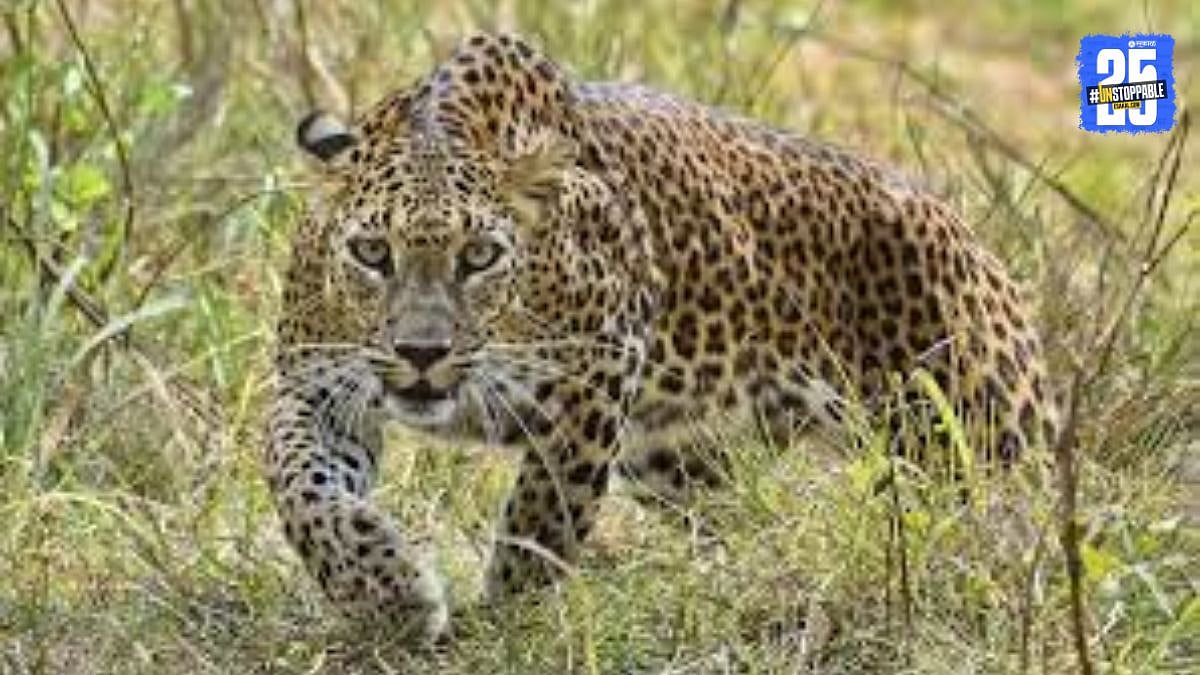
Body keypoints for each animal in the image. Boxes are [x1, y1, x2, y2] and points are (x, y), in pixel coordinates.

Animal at [265, 32, 1057, 638]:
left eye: (480, 255)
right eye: (372, 252)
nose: (422, 354)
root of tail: (972, 237)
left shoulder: (596, 375)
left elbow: (543, 516)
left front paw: (503, 620)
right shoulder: (315, 385)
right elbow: (301, 486)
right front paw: (385, 594)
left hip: (977, 441)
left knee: (1016, 528)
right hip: (676, 458)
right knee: (742, 516)